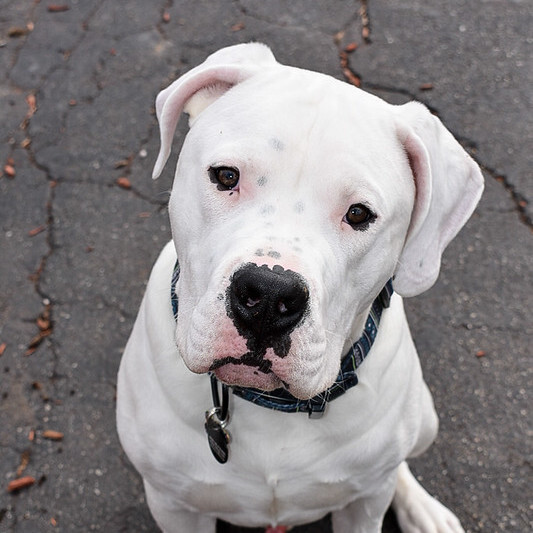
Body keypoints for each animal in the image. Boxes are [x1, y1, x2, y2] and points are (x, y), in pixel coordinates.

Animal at [116, 42, 482, 532]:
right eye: (226, 176)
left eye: (359, 214)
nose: (269, 297)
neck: (272, 407)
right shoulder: (174, 505)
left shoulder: (363, 506)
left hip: (424, 422)